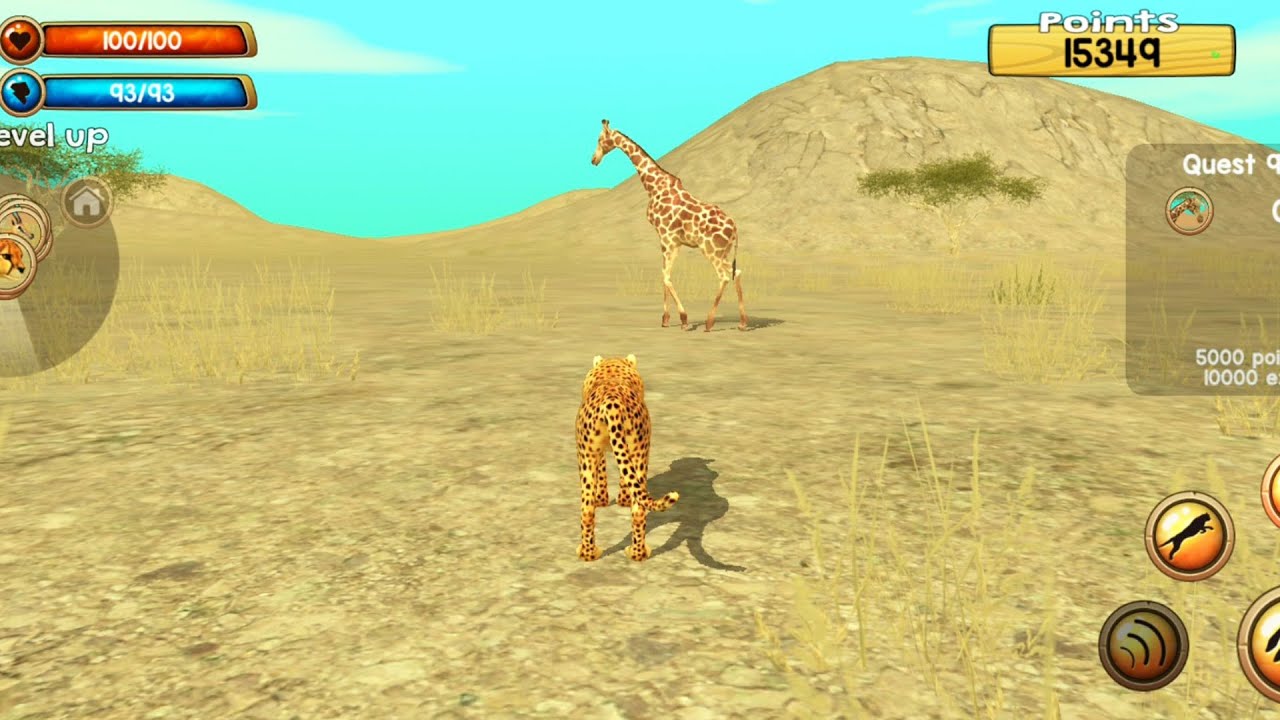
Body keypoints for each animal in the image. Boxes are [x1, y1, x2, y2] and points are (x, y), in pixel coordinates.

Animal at [576, 354, 679, 562]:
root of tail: (611, 401)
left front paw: (610, 500)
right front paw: (613, 500)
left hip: (594, 455)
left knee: (589, 509)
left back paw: (593, 553)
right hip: (635, 452)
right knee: (634, 508)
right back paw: (633, 554)